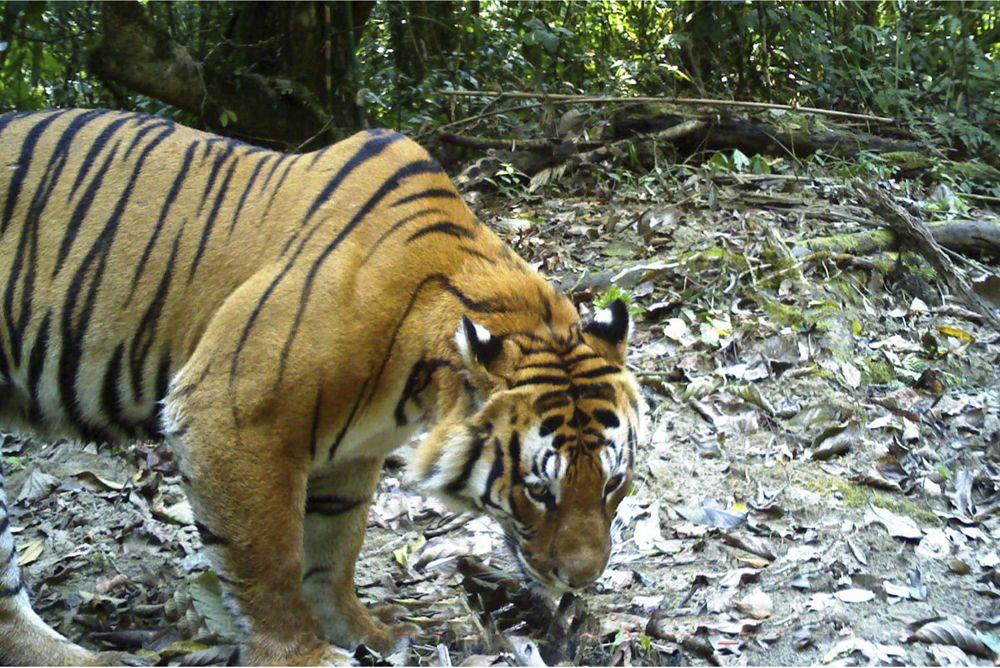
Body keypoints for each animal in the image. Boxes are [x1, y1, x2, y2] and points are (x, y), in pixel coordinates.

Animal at [0, 108, 645, 665]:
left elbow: (334, 551)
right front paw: (301, 654)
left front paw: (366, 633)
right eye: (538, 490)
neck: (417, 382)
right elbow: (268, 559)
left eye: (613, 482)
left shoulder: (352, 451)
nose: (583, 579)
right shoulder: (227, 415)